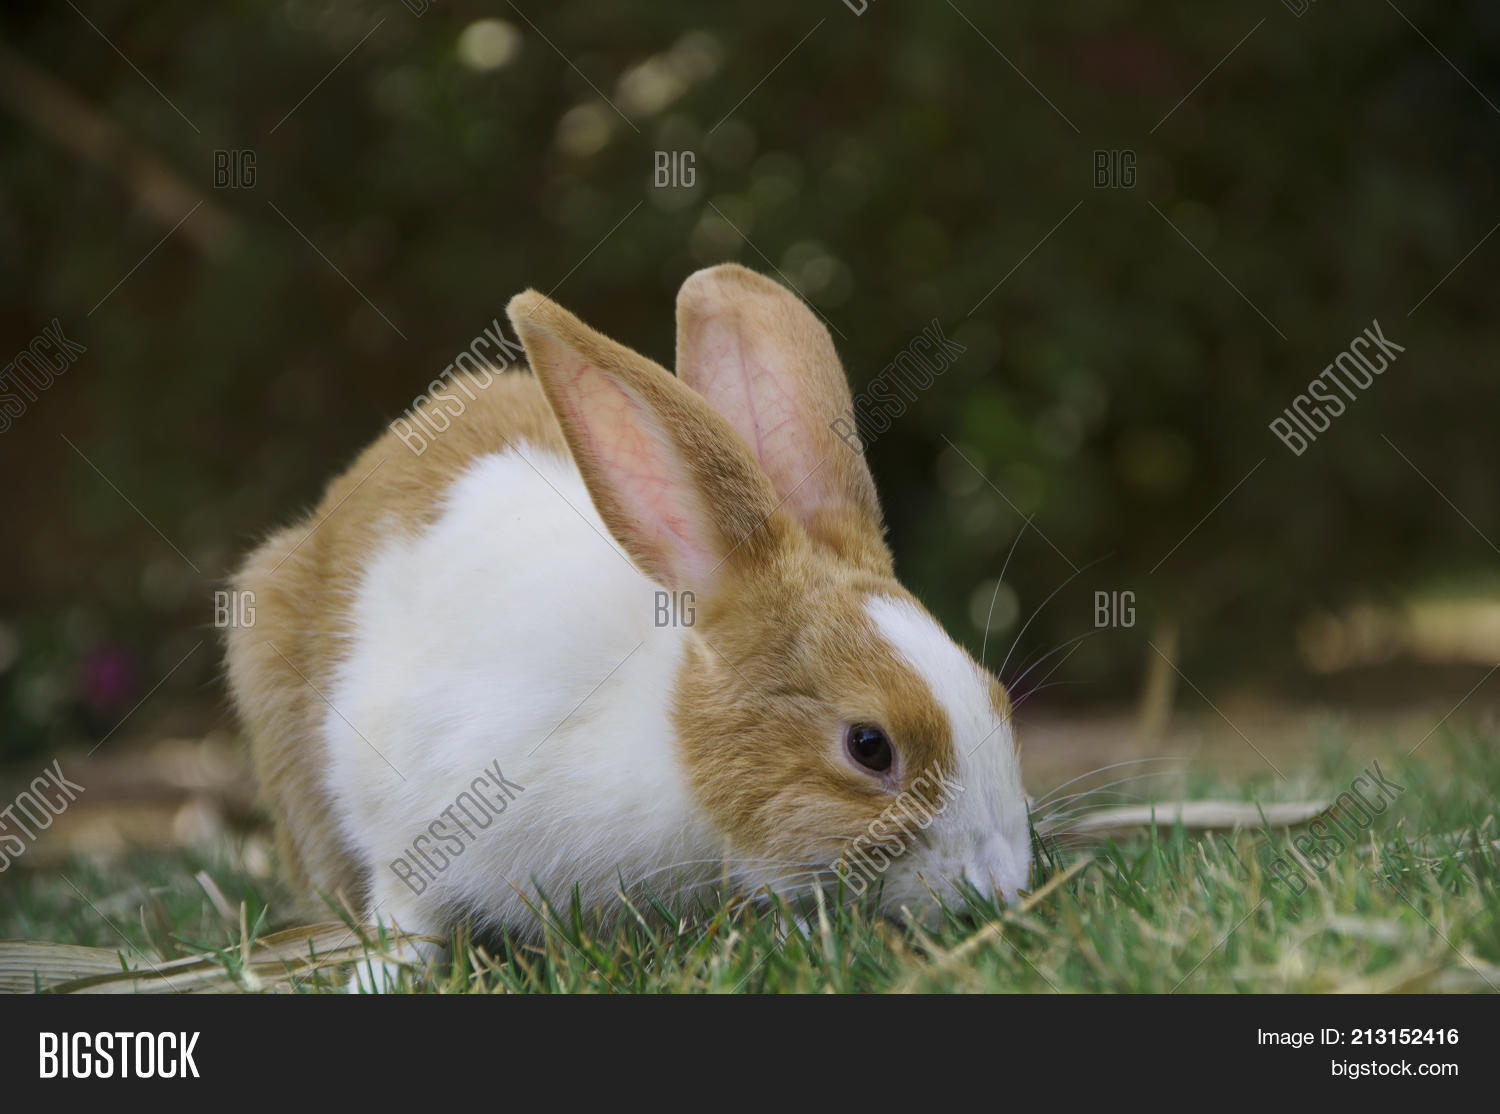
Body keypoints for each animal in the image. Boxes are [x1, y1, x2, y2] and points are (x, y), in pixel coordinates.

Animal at [224, 263, 1030, 989]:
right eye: (869, 746)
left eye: (997, 696)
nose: (1000, 886)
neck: (671, 741)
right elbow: (407, 917)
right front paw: (378, 976)